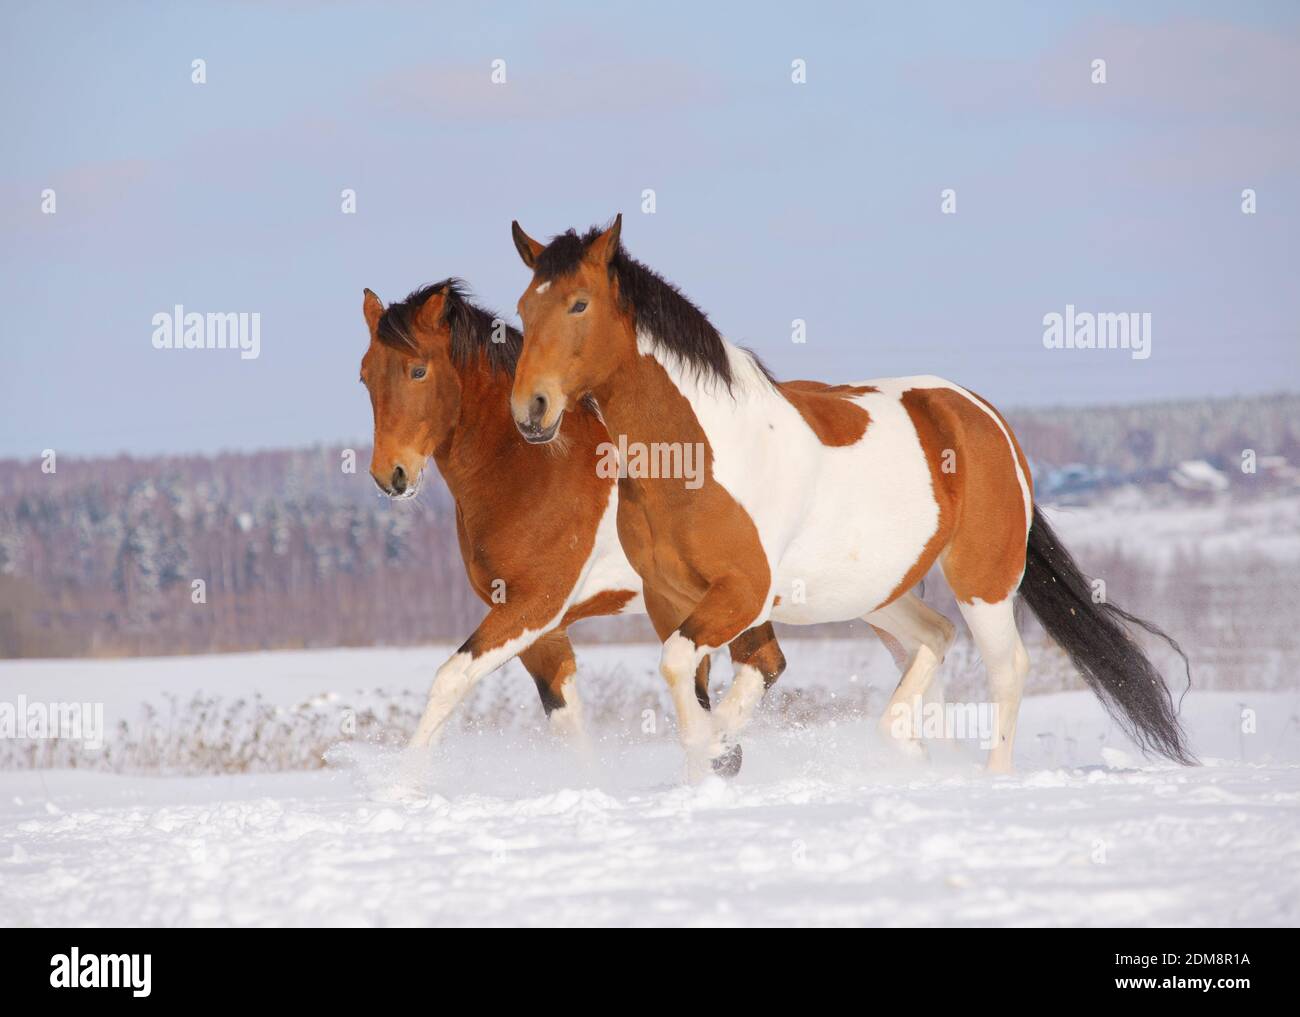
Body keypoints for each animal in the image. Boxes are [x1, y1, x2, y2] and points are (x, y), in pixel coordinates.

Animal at [360, 279, 786, 776]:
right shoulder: (541, 628)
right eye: (365, 375)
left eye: (418, 371)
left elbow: (450, 679)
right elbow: (566, 724)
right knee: (762, 665)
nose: (391, 475)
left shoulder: (535, 605)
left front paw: (400, 785)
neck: (532, 469)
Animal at [505, 216, 1195, 773]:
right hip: (879, 591)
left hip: (985, 579)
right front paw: (710, 765)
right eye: (523, 308)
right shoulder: (668, 599)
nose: (530, 409)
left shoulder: (741, 593)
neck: (698, 456)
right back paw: (907, 749)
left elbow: (691, 674)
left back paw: (989, 775)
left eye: (579, 304)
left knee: (1006, 668)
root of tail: (980, 413)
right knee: (934, 637)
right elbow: (693, 684)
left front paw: (719, 749)